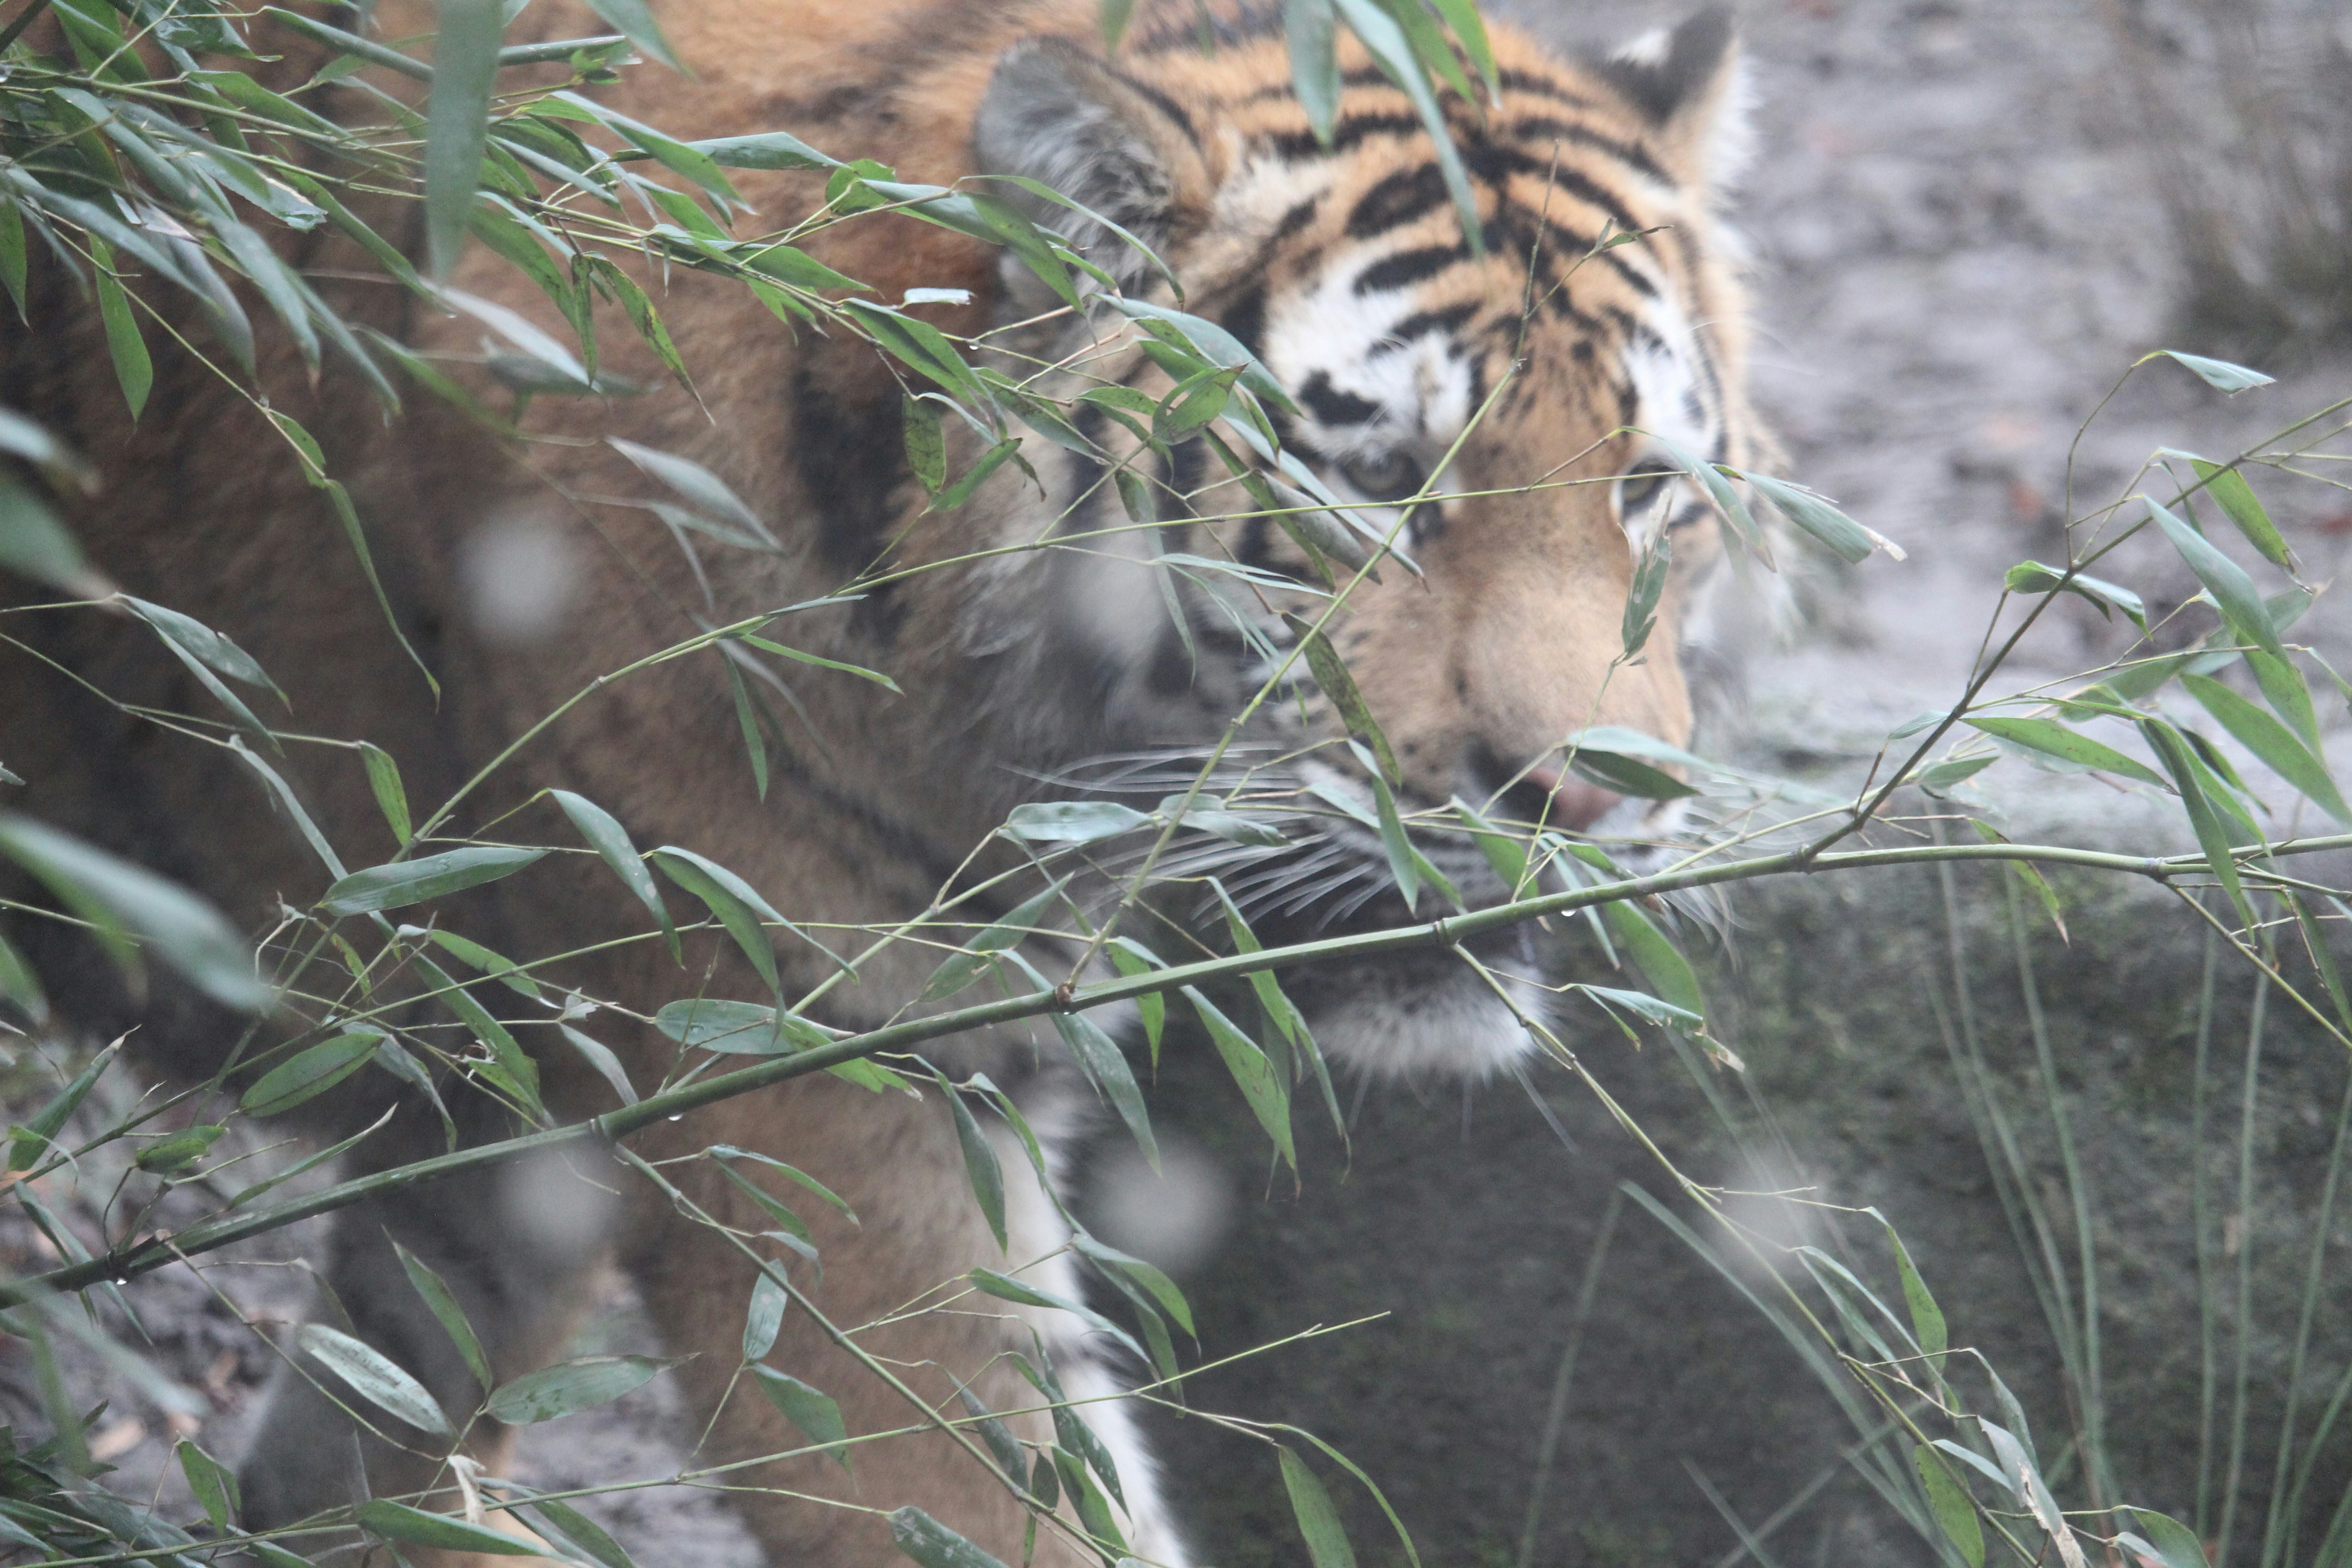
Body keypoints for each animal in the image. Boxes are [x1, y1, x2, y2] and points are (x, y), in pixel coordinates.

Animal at [0, 1, 1768, 1563]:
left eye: (1647, 490)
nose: (1594, 801)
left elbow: (372, 1431)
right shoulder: (820, 1107)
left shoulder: (516, 1131)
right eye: (1390, 482)